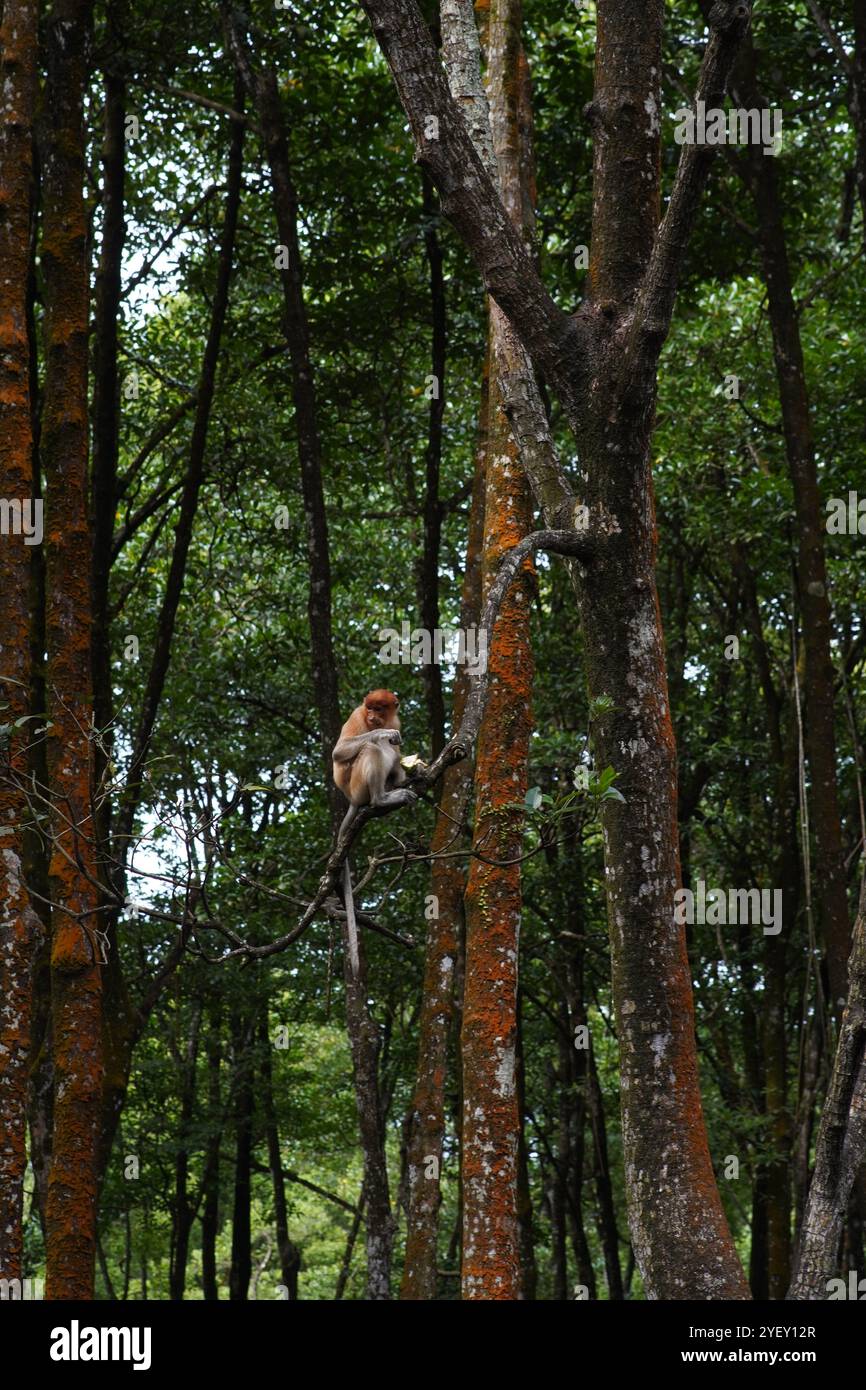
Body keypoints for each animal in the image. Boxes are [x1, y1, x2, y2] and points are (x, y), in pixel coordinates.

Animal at [331, 690, 415, 975]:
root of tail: (351, 798)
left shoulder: (396, 718)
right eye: (368, 708)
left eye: (379, 708)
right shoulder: (356, 715)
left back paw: (399, 781)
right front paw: (384, 732)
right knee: (371, 748)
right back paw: (382, 798)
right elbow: (340, 752)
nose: (372, 717)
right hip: (358, 785)